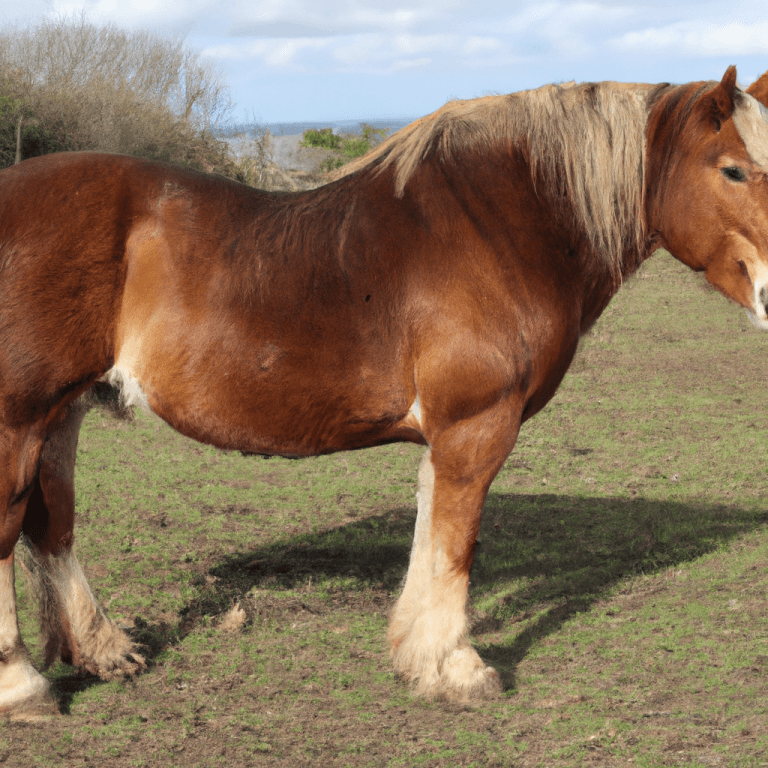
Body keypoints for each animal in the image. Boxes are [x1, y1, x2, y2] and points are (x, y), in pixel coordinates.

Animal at [2, 65, 768, 716]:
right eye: (732, 169)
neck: (502, 226)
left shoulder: (449, 433)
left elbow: (432, 535)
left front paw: (416, 655)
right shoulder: (476, 425)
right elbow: (455, 545)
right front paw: (458, 668)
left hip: (63, 411)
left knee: (52, 525)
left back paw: (103, 650)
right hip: (20, 419)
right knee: (13, 528)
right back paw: (23, 686)